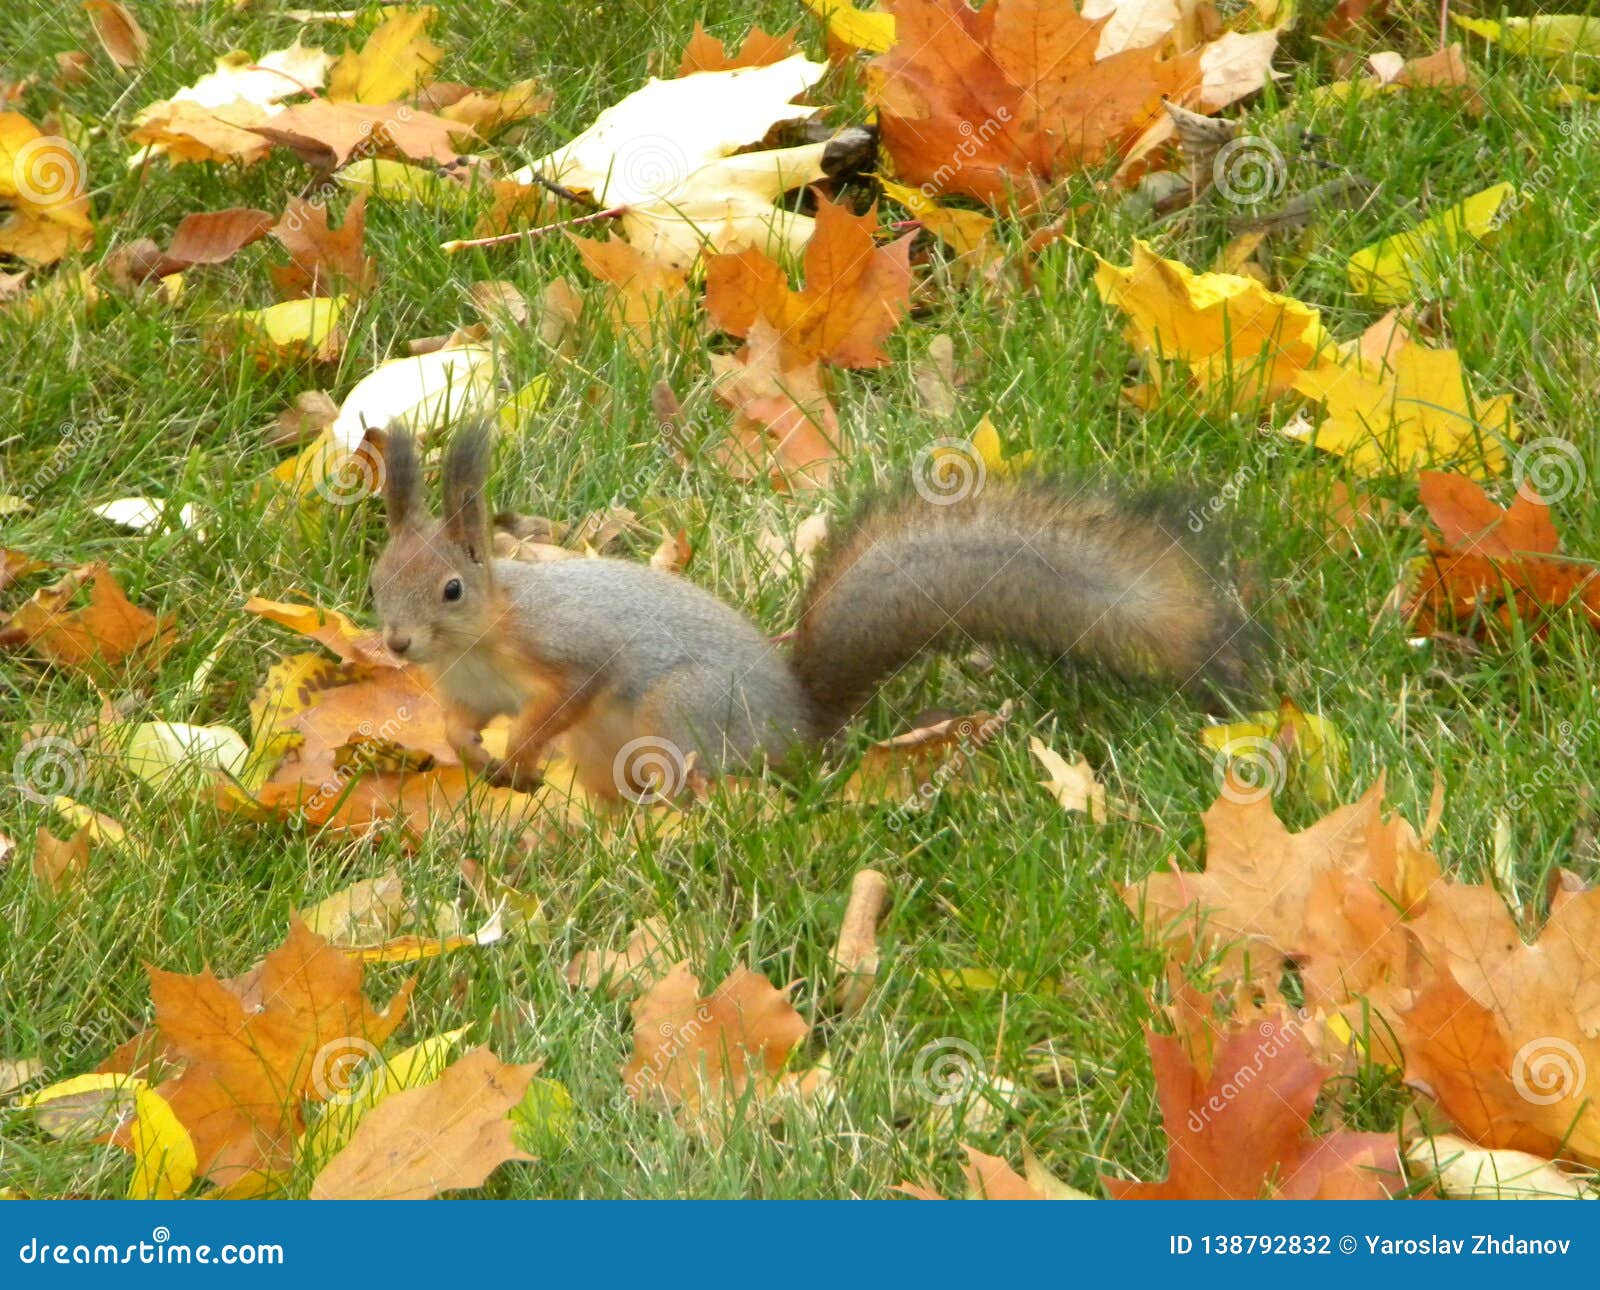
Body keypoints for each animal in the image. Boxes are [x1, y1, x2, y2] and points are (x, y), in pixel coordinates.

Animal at [370, 422, 1251, 799]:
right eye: (376, 580)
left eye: (452, 588)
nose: (398, 644)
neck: (480, 643)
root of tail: (801, 727)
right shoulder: (466, 690)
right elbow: (457, 724)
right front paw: (476, 755)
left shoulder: (566, 649)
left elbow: (569, 693)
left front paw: (519, 749)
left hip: (678, 712)